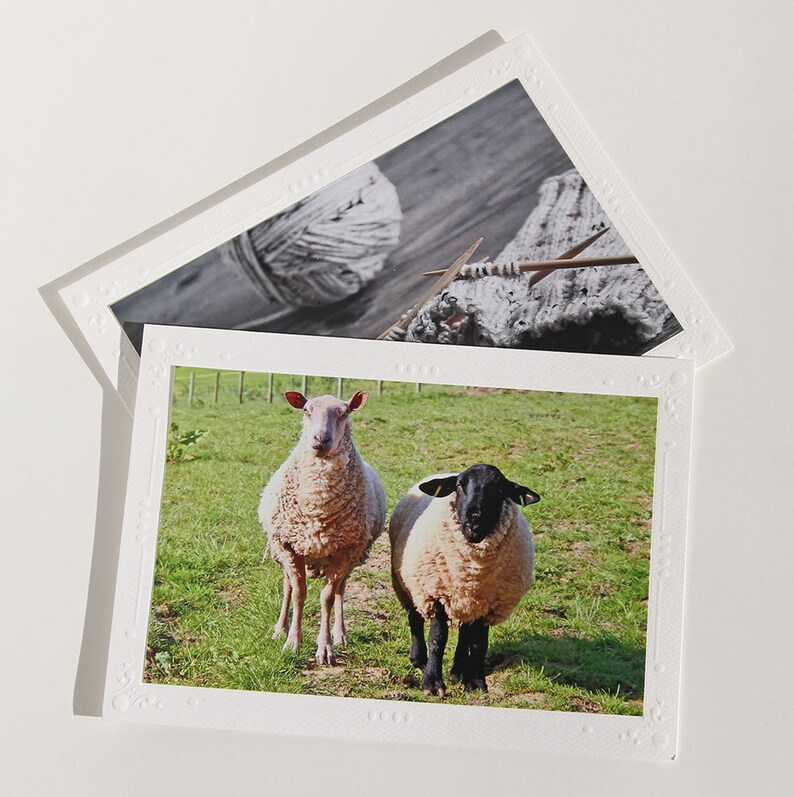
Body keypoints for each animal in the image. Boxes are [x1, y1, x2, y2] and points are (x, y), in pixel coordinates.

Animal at [259, 390, 386, 664]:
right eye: (307, 410)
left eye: (345, 412)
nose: (320, 439)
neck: (318, 505)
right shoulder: (288, 545)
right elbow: (298, 593)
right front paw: (292, 642)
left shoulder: (346, 549)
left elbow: (327, 597)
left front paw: (325, 647)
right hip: (284, 551)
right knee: (287, 586)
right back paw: (280, 629)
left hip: (352, 557)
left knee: (340, 590)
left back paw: (341, 634)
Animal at [389, 464, 540, 696]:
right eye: (459, 485)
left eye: (499, 489)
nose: (473, 524)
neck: (473, 573)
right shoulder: (436, 593)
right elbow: (438, 638)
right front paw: (432, 683)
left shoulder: (488, 604)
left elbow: (478, 643)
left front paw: (475, 682)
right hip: (409, 583)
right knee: (415, 617)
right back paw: (419, 659)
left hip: (466, 602)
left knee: (465, 633)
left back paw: (458, 670)